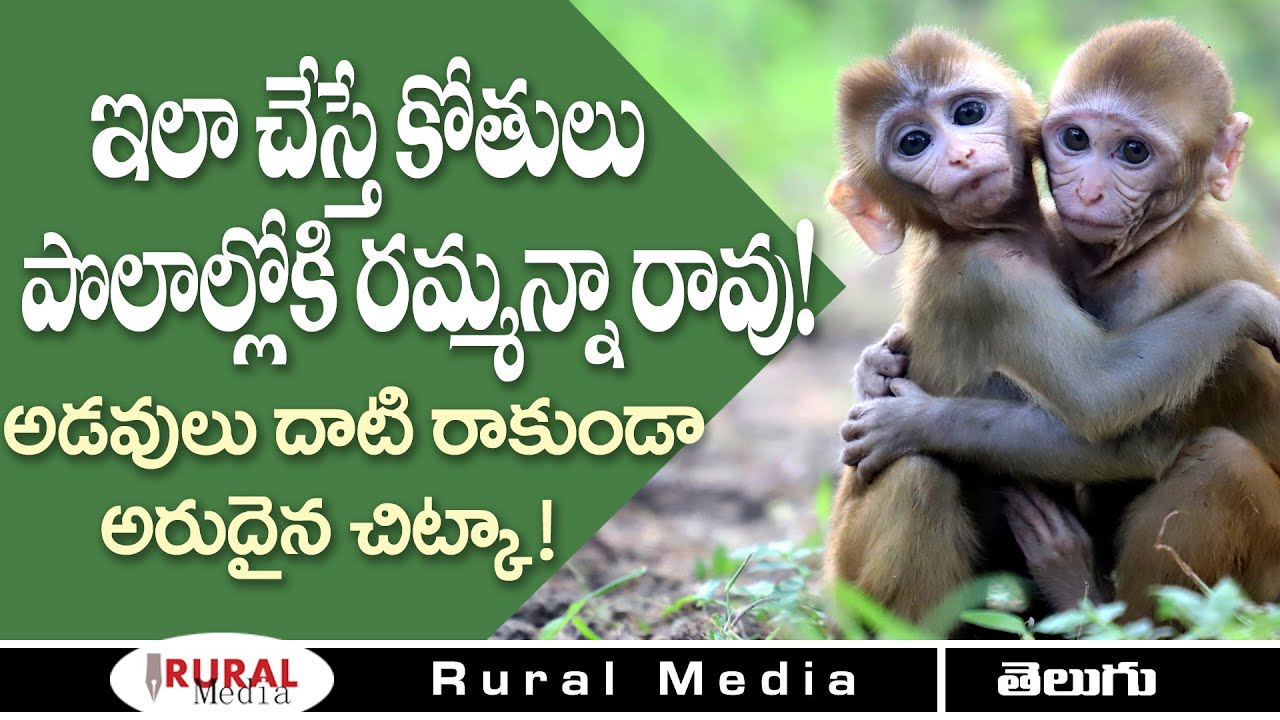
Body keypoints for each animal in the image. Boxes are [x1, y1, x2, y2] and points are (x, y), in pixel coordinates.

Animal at [821, 26, 1280, 624]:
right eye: (913, 143)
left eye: (967, 113)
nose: (962, 154)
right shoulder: (991, 278)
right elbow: (1103, 397)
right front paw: (1253, 306)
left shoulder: (1171, 273)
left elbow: (1118, 423)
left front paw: (908, 413)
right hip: (848, 587)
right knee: (921, 474)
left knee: (1221, 460)